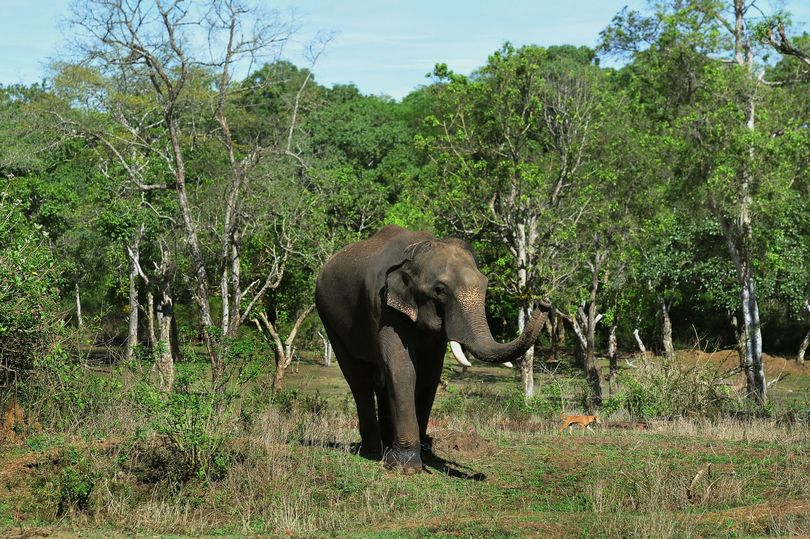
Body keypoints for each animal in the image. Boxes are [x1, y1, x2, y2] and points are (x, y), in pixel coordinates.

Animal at [315, 225, 547, 473]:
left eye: (485, 286)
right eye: (440, 290)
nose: (544, 304)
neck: (414, 252)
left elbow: (429, 373)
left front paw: (420, 456)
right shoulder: (382, 306)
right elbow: (403, 367)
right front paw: (405, 467)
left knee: (381, 379)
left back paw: (386, 448)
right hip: (329, 319)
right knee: (359, 379)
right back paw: (373, 451)